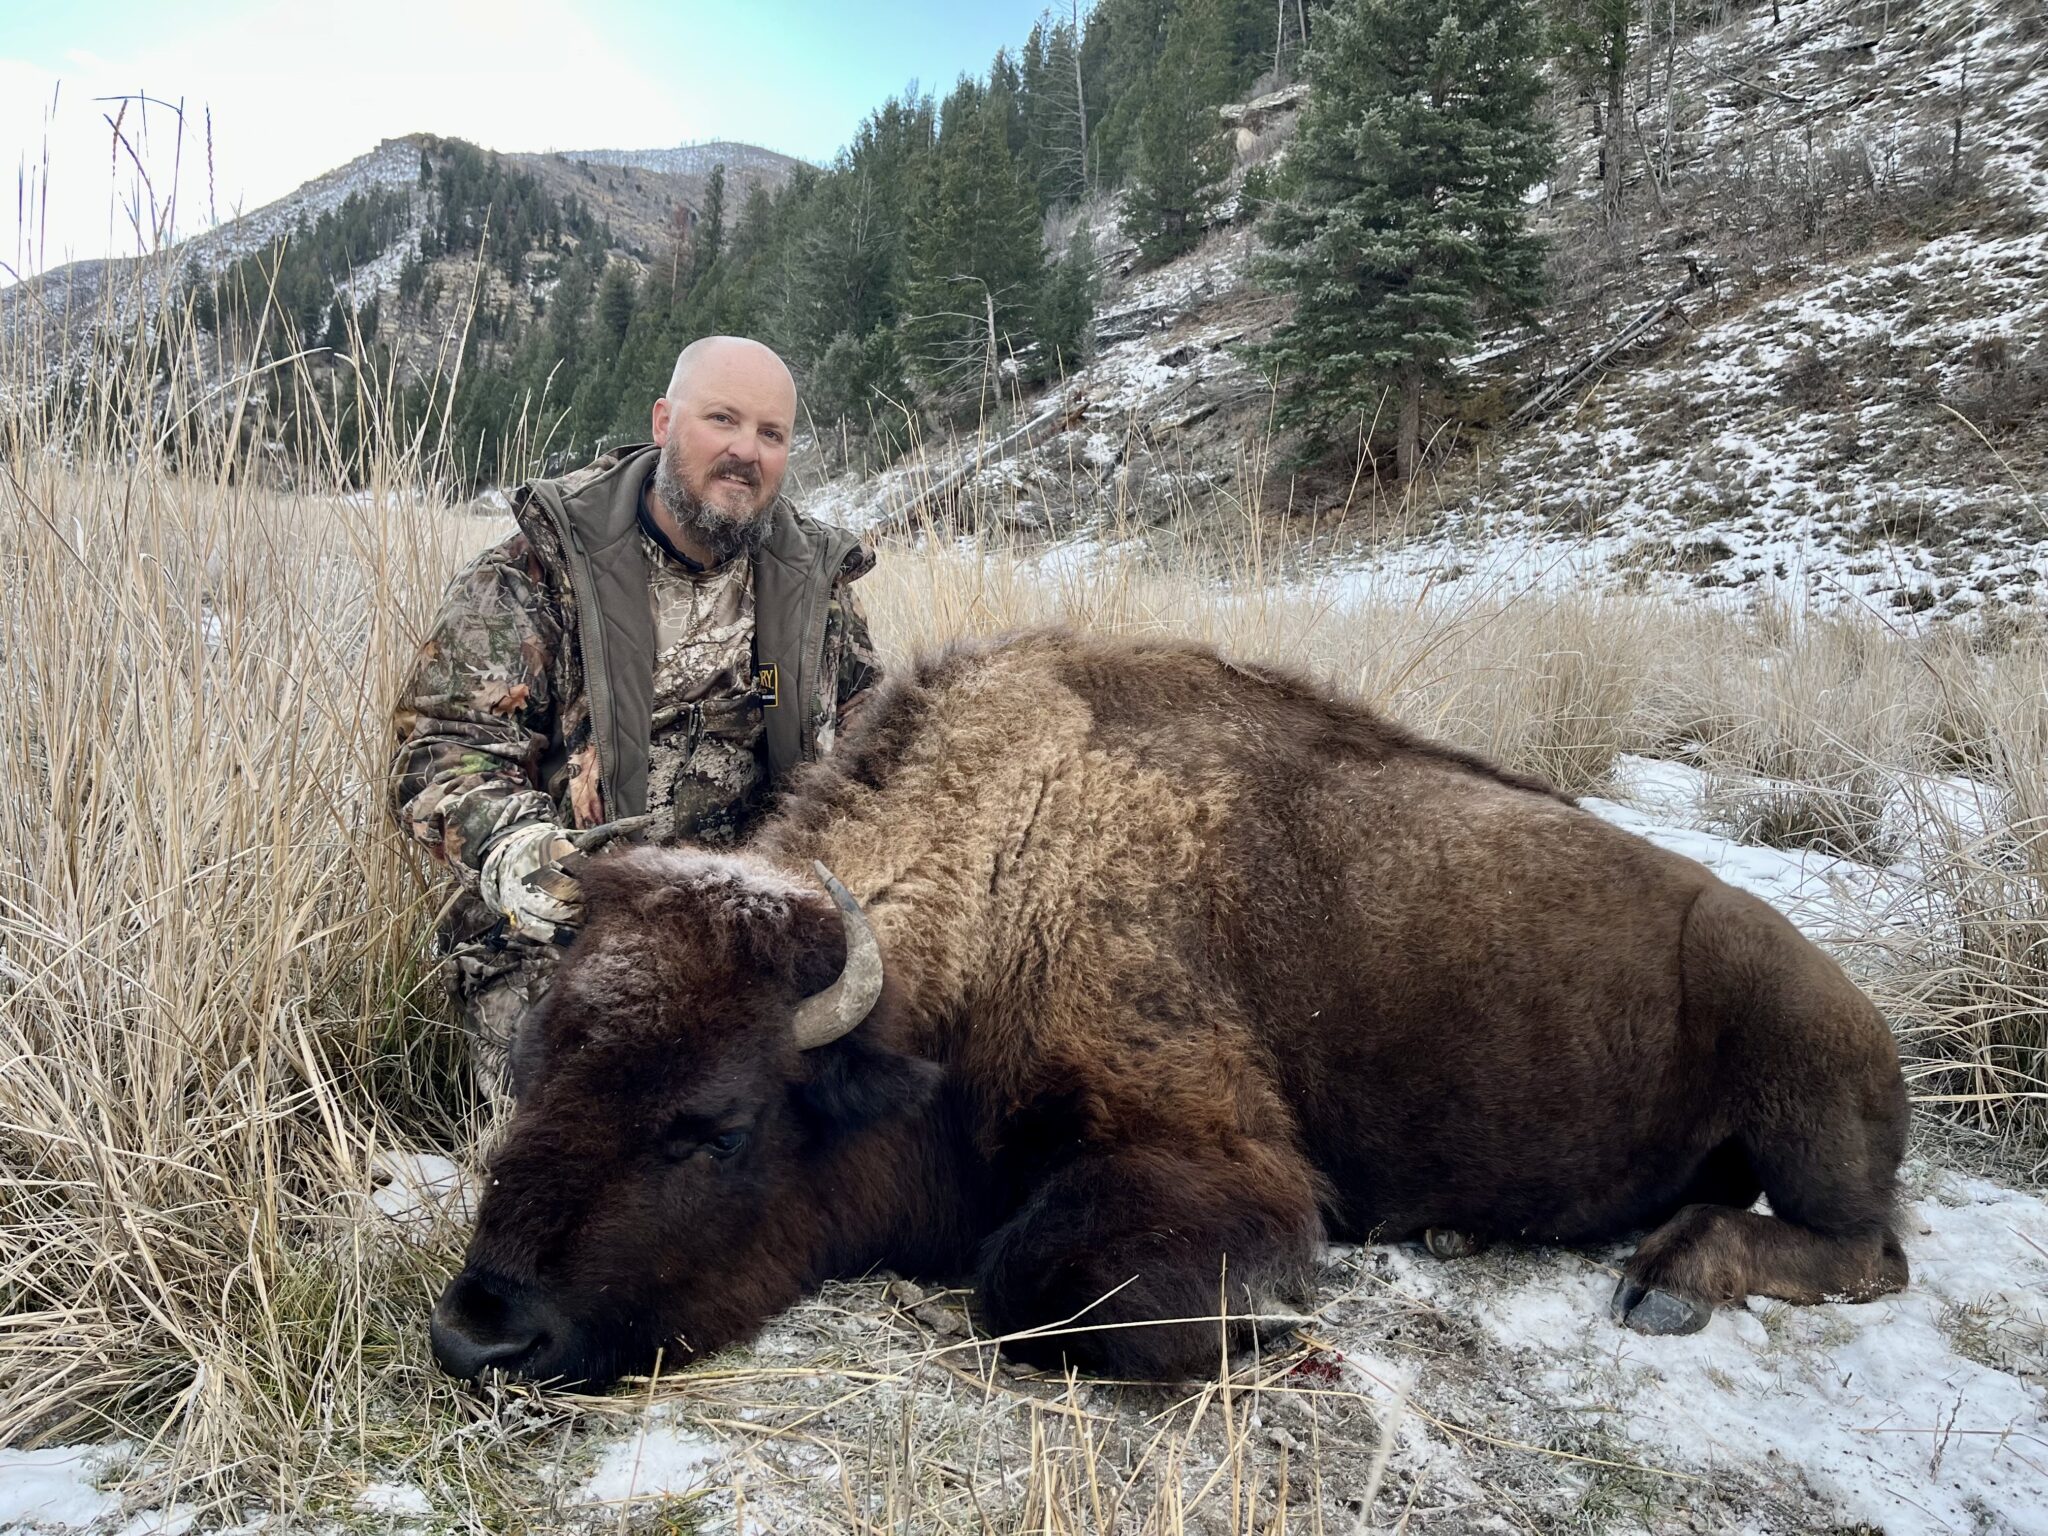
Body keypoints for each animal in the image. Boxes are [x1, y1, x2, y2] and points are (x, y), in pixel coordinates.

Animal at [431, 629, 1909, 1388]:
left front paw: (1267, 1322)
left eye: (715, 1127)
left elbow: (1024, 1285)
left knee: (1867, 1253)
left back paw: (1665, 1280)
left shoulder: (1217, 1161)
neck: (1013, 859)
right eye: (536, 1071)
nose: (480, 1332)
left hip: (1799, 1079)